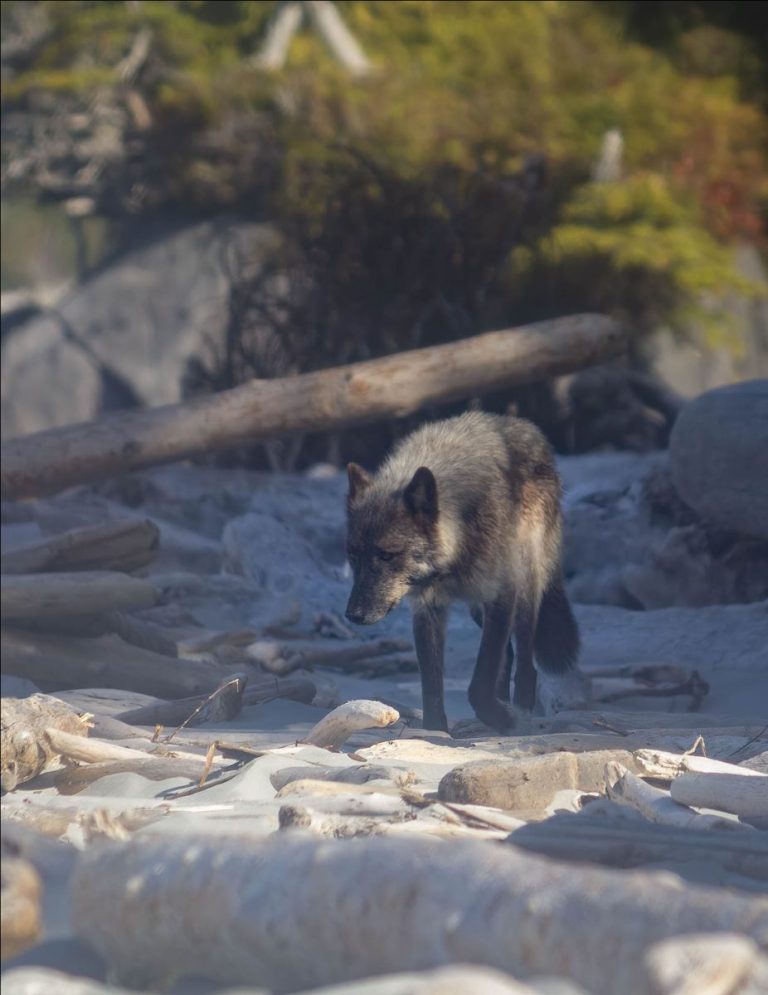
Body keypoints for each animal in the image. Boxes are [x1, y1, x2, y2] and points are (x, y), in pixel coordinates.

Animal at [344, 411, 579, 732]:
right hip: (477, 611)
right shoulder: (428, 608)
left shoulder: (501, 593)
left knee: (524, 654)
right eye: (353, 555)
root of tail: (525, 427)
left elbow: (478, 684)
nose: (353, 615)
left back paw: (520, 707)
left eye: (387, 554)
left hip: (524, 587)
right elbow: (432, 685)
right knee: (506, 655)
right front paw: (436, 731)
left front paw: (503, 718)